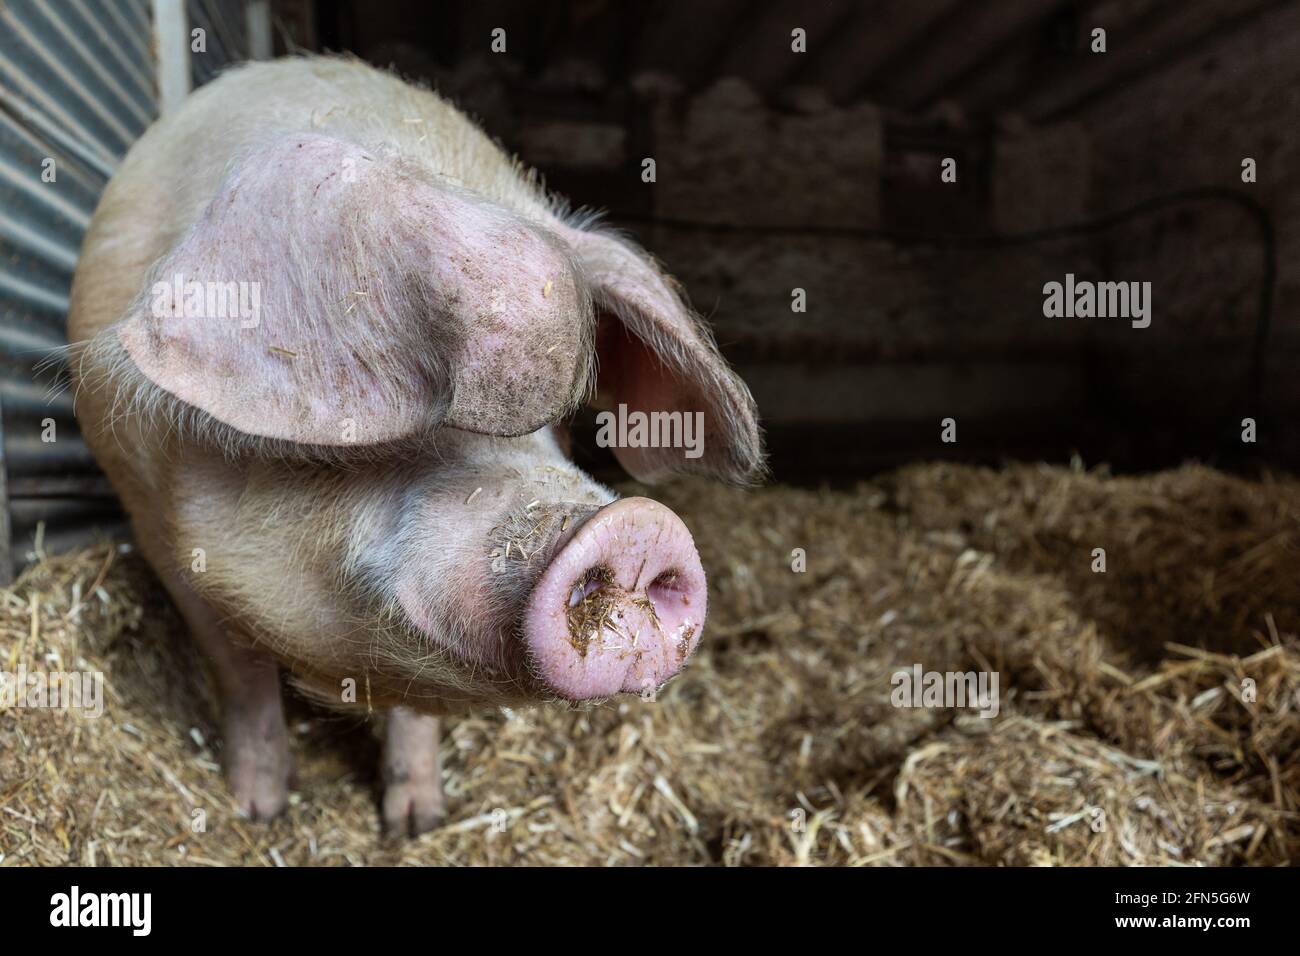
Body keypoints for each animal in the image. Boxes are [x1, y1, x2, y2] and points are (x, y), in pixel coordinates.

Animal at [65, 56, 762, 835]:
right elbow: (240, 676)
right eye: (366, 439)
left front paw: (415, 823)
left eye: (562, 429)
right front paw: (257, 811)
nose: (638, 529)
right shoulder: (155, 526)